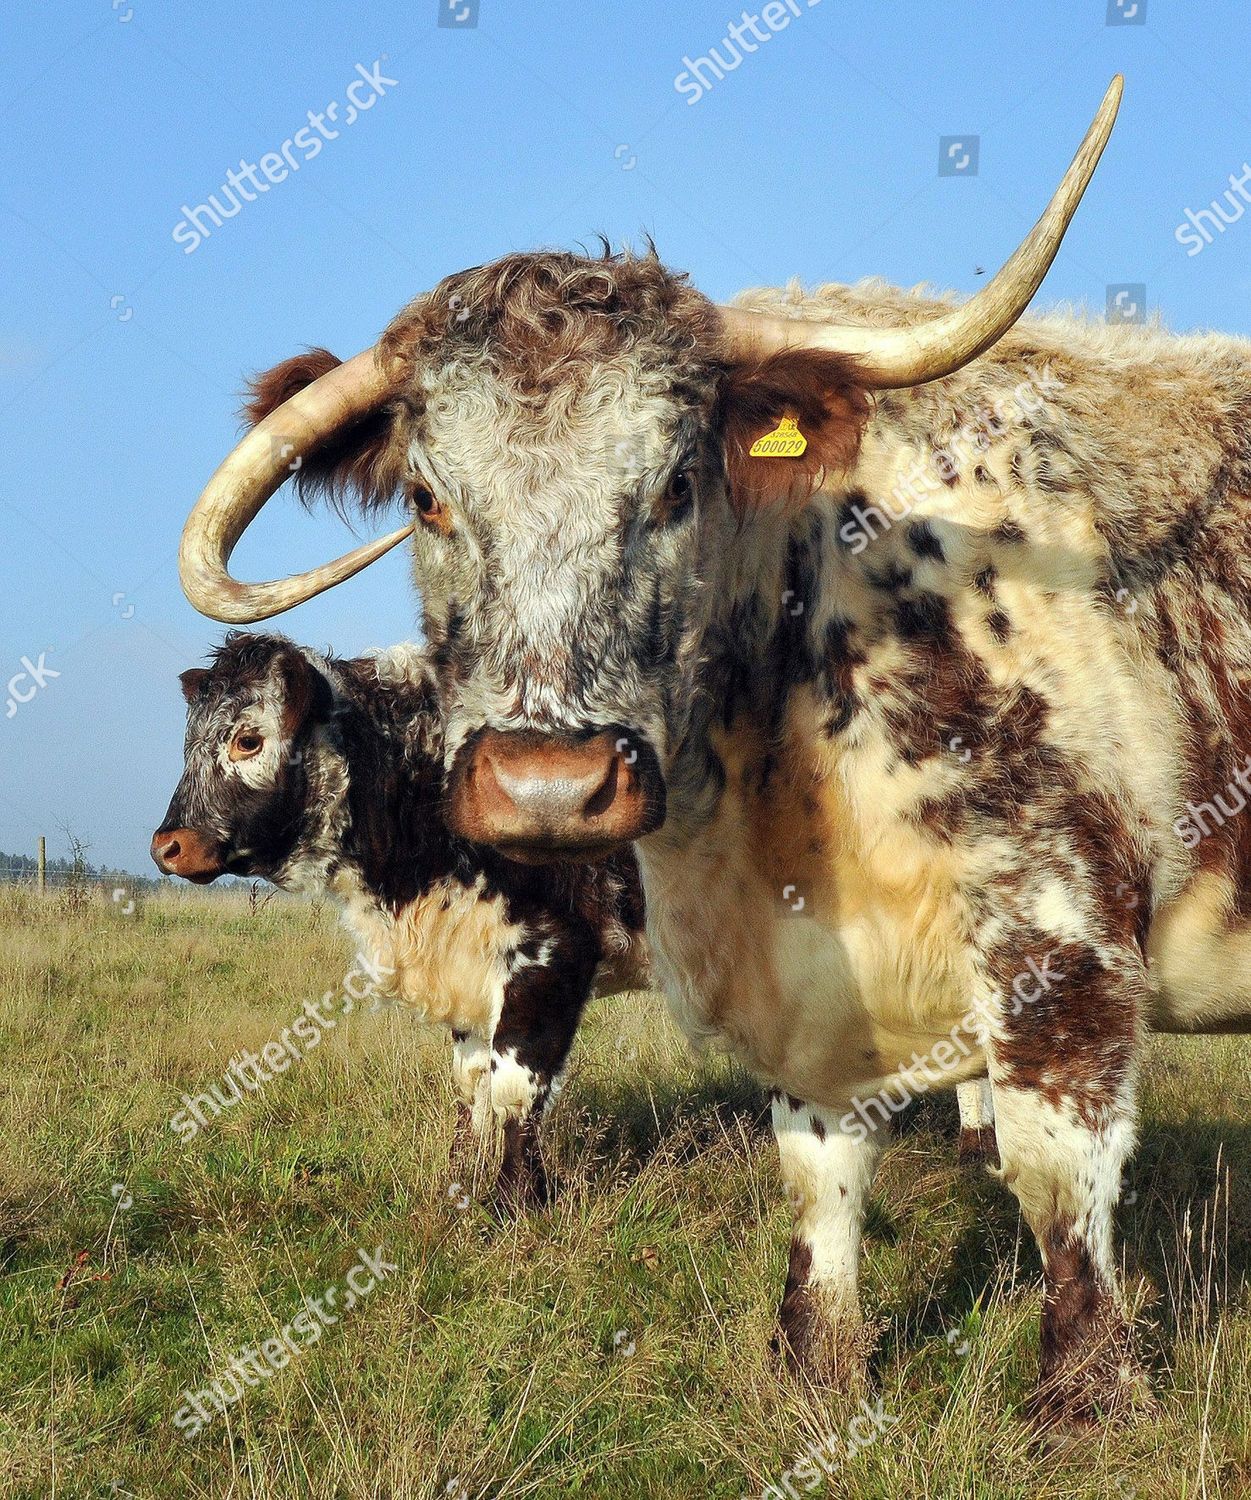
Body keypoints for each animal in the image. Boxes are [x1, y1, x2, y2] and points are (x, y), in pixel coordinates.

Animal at [150, 631, 650, 1211]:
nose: (167, 847)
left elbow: (514, 1088)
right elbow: (470, 1085)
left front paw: (515, 1202)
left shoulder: (552, 954)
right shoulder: (466, 966)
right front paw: (460, 1183)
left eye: (248, 740)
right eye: (189, 741)